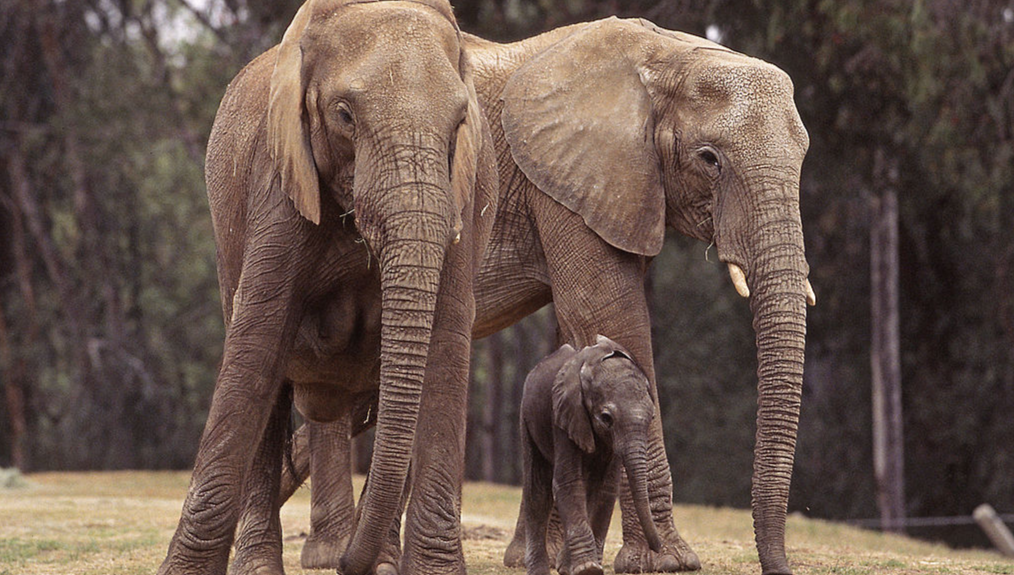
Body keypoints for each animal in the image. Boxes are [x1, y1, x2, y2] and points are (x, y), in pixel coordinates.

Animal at [155, 0, 498, 574]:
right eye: (344, 115)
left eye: (459, 123)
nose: (344, 564)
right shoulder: (277, 178)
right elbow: (256, 342)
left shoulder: (463, 197)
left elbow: (446, 343)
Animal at [519, 336, 662, 575]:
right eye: (606, 418)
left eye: (652, 417)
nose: (658, 548)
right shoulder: (564, 413)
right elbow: (568, 483)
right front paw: (588, 568)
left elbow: (606, 488)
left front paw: (580, 567)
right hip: (527, 416)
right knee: (537, 488)